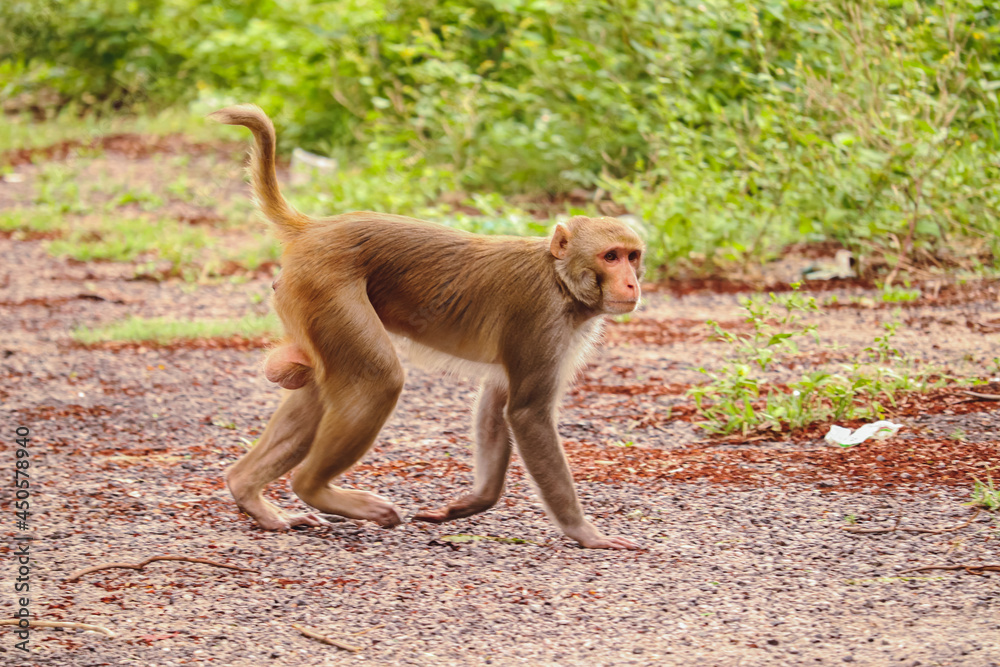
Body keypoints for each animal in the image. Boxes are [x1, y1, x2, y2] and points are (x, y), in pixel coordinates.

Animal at [210, 105, 645, 549]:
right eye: (610, 257)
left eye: (633, 256)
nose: (632, 283)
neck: (560, 280)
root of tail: (314, 228)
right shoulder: (540, 319)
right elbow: (527, 413)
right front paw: (585, 532)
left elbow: (496, 403)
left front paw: (471, 504)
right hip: (324, 288)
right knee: (377, 379)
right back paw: (312, 487)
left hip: (307, 300)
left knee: (320, 385)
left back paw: (247, 490)